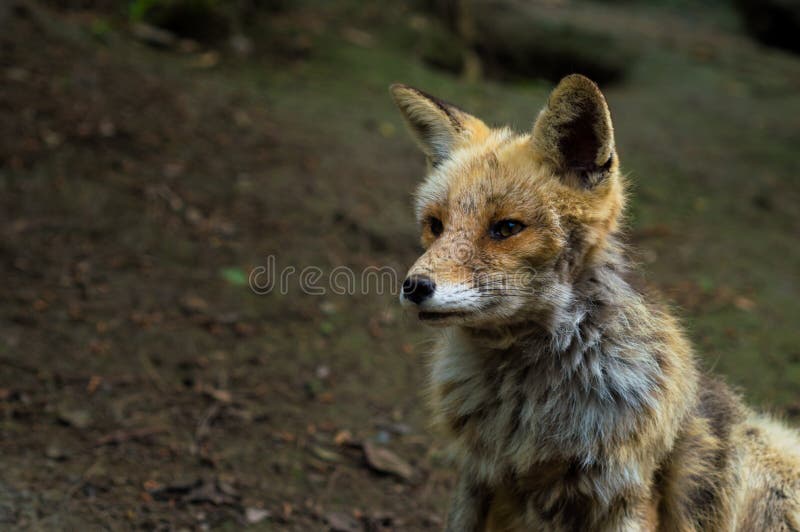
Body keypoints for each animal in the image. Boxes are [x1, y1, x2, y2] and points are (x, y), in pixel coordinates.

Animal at [390, 74, 800, 531]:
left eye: (507, 228)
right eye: (435, 225)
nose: (414, 286)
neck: (529, 407)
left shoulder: (626, 492)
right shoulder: (477, 475)